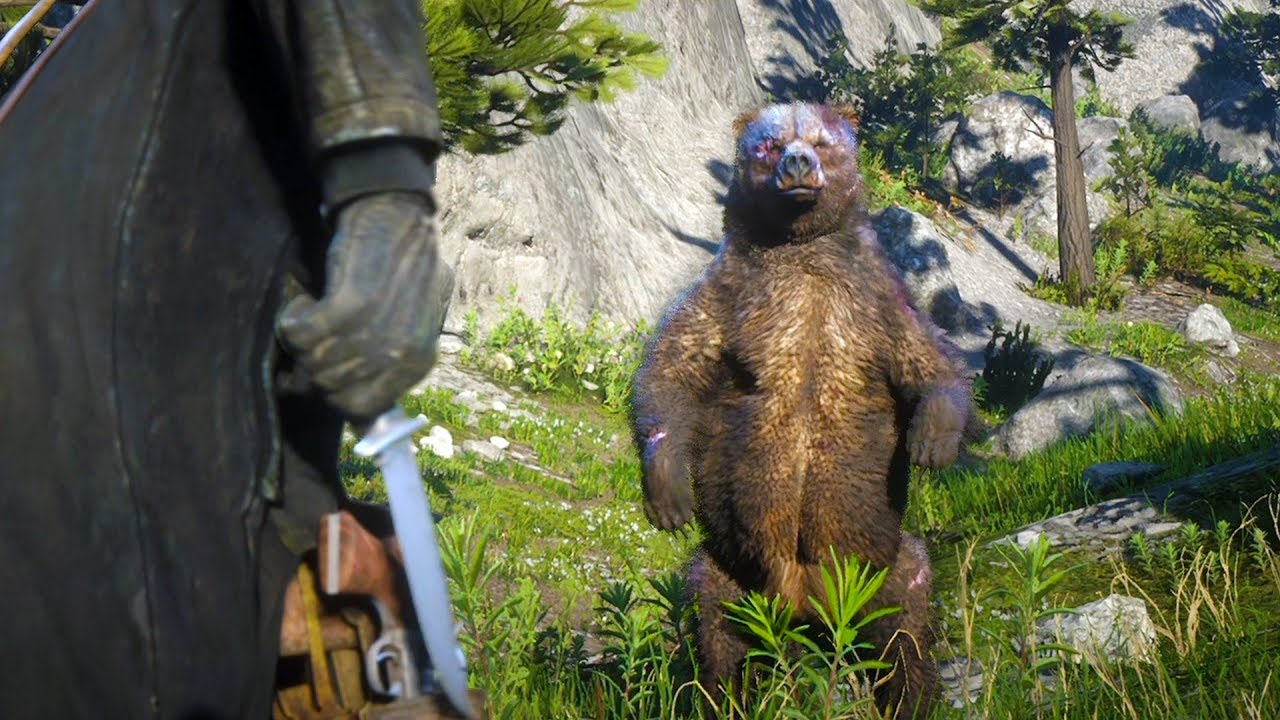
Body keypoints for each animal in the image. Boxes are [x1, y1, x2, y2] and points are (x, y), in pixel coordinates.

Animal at [629, 102, 976, 719]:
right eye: (770, 144)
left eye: (821, 141)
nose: (796, 162)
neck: (801, 252)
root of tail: (805, 608)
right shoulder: (727, 294)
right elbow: (672, 369)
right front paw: (668, 493)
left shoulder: (875, 300)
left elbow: (932, 360)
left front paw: (932, 442)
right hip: (731, 572)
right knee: (715, 633)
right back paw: (721, 696)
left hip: (881, 567)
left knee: (907, 629)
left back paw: (912, 697)